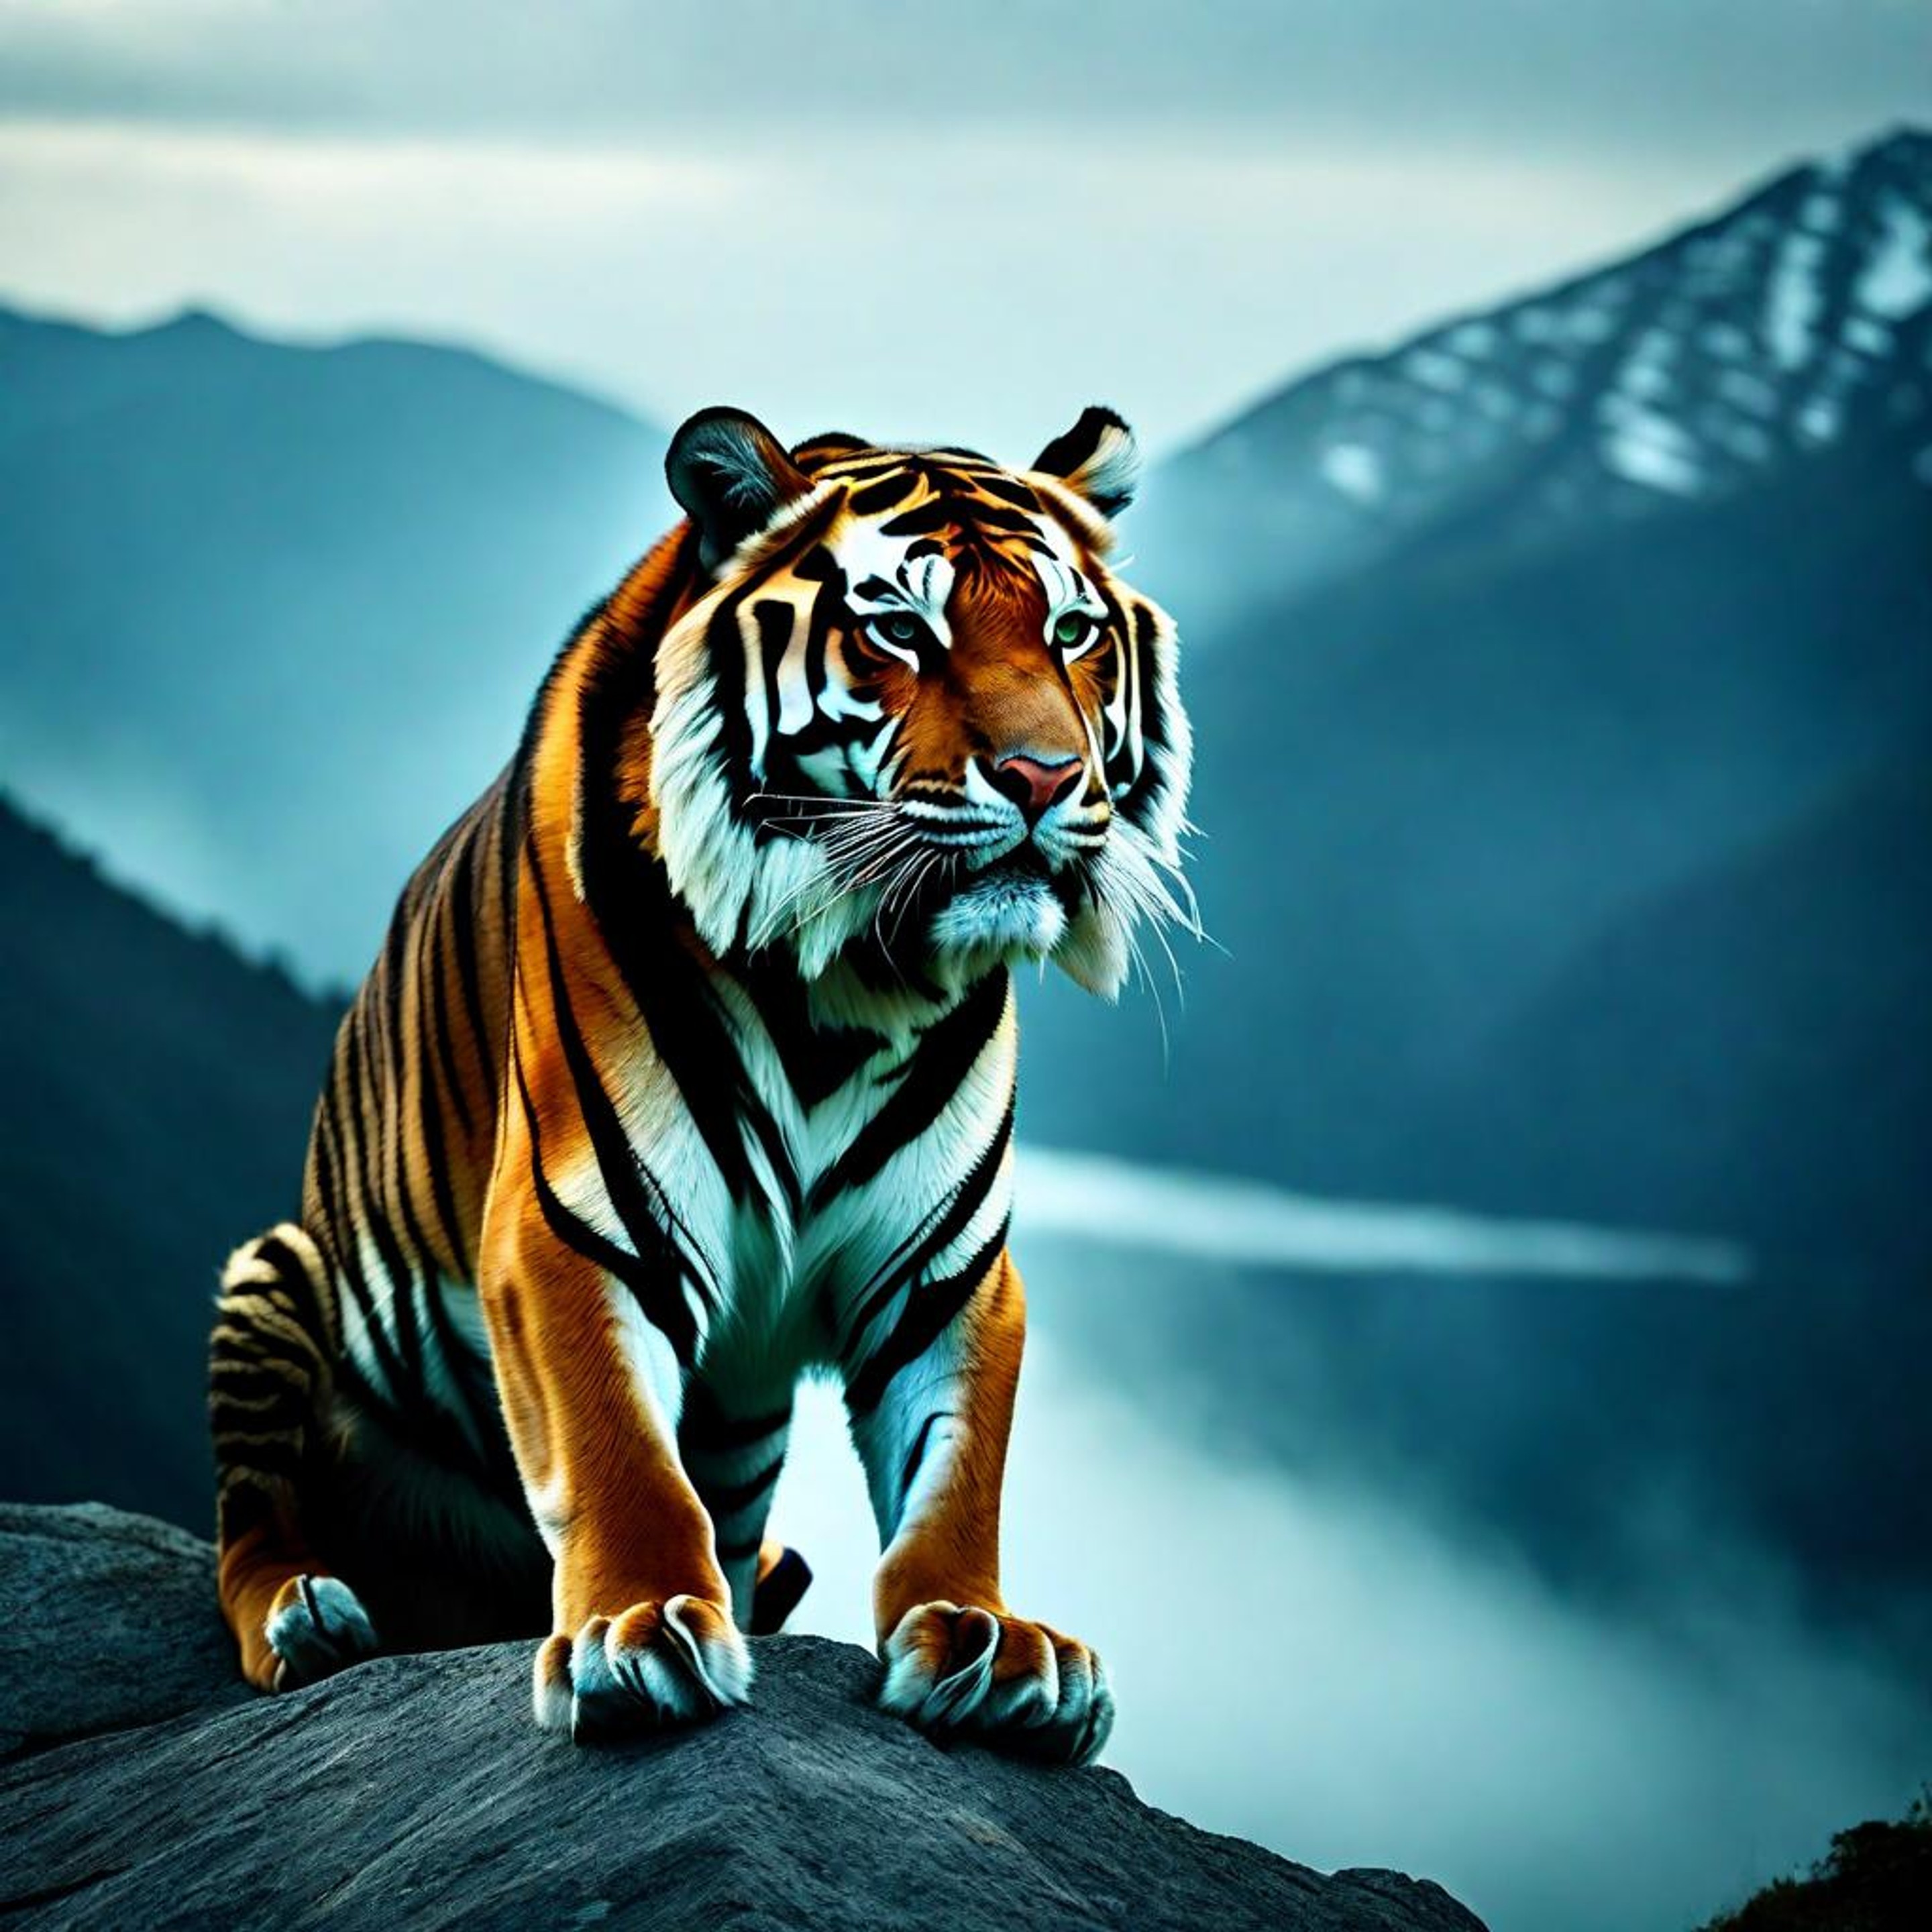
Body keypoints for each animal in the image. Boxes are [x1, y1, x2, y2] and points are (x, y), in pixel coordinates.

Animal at [209, 404, 1191, 1764]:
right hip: (275, 1270)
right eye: (901, 629)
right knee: (249, 1517)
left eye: (1071, 634)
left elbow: (957, 1470)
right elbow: (618, 1446)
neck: (854, 990)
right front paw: (637, 1632)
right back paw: (305, 1611)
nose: (1045, 779)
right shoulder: (578, 1221)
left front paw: (989, 1639)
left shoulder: (947, 1272)